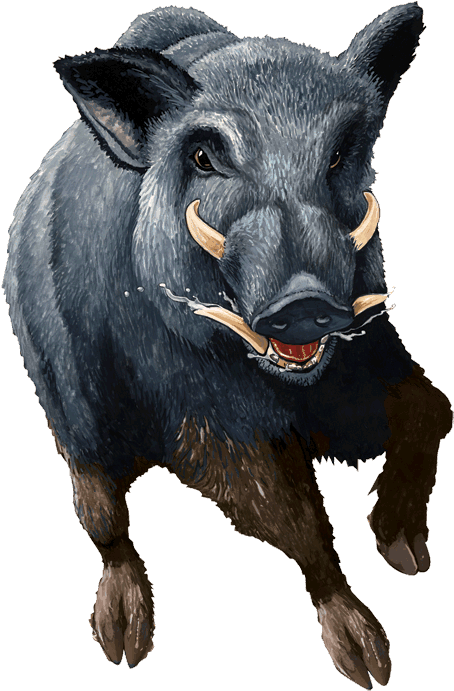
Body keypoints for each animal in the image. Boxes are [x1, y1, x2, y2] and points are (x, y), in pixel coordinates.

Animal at [3, 4, 452, 687]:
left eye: (341, 151)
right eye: (203, 155)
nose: (304, 301)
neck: (293, 389)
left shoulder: (368, 356)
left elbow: (432, 410)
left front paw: (404, 552)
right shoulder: (204, 419)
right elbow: (290, 511)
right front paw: (368, 660)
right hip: (70, 409)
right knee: (102, 515)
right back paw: (124, 640)